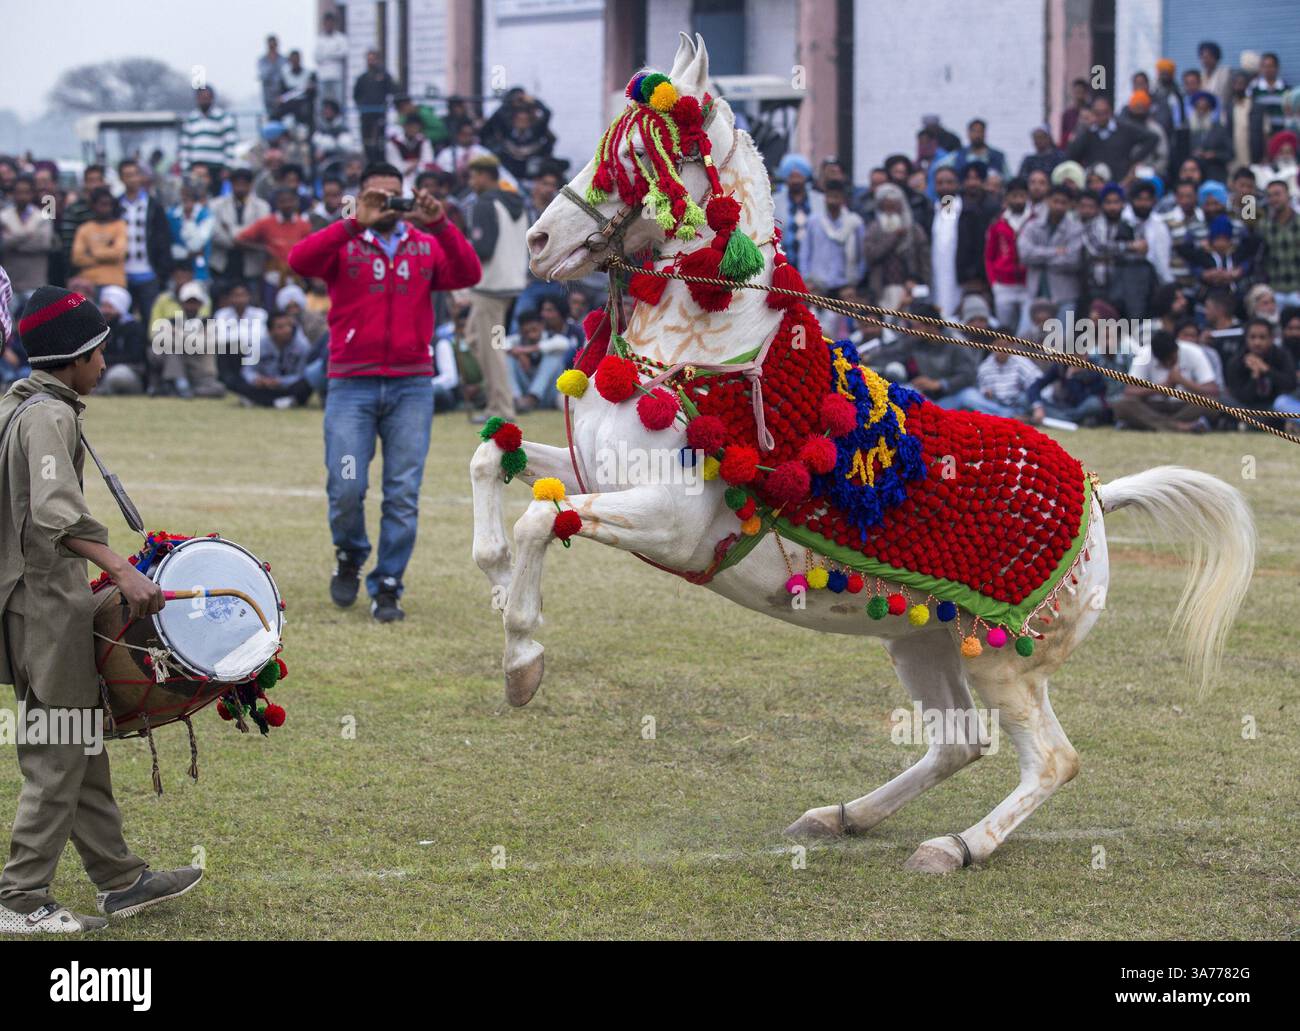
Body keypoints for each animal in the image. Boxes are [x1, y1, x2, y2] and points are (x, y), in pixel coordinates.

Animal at [470, 33, 1256, 872]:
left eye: (632, 160)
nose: (537, 243)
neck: (706, 352)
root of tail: (1100, 500)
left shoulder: (674, 520)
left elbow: (539, 521)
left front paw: (522, 662)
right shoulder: (601, 473)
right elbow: (496, 466)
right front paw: (496, 585)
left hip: (1004, 658)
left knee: (1051, 757)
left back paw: (956, 845)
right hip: (924, 638)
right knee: (959, 742)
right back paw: (841, 815)